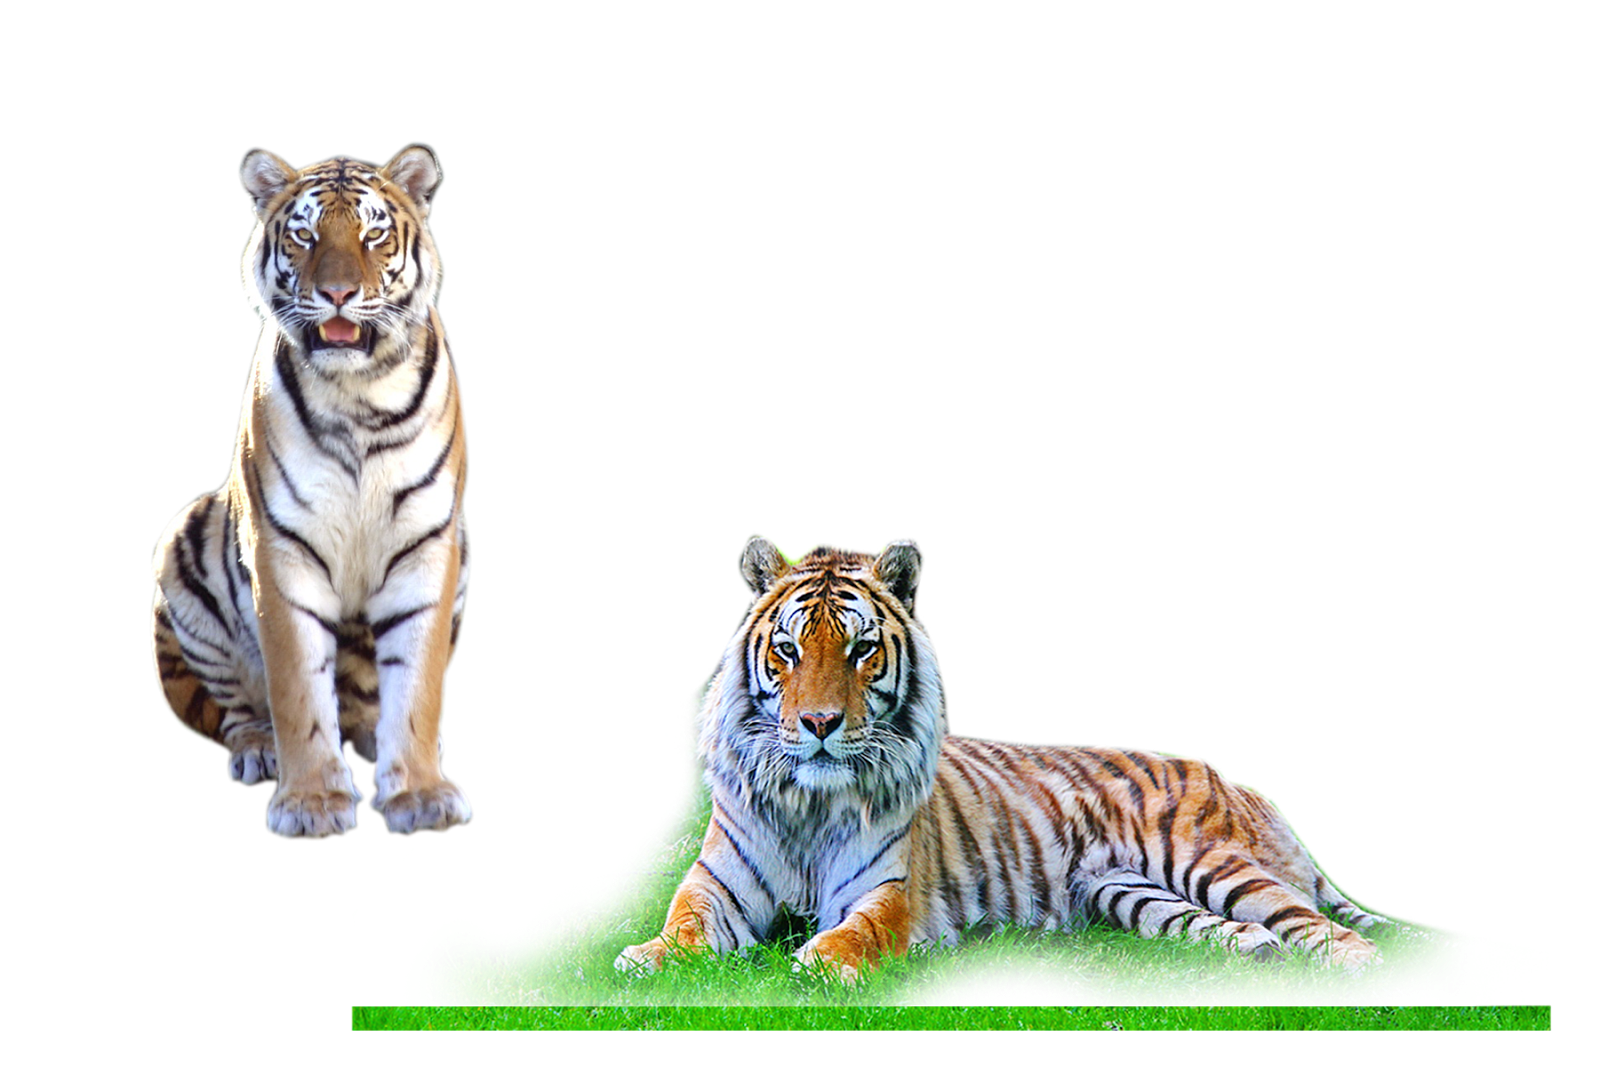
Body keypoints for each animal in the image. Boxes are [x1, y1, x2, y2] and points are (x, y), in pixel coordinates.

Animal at [149, 145, 472, 841]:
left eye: (373, 234)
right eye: (305, 234)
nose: (338, 294)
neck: (360, 398)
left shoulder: (427, 542)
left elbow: (417, 684)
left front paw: (421, 793)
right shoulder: (282, 548)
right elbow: (297, 688)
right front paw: (312, 804)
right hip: (183, 545)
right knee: (238, 709)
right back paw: (259, 751)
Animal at [615, 537, 1389, 983]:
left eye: (862, 650)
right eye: (787, 649)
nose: (819, 724)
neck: (811, 801)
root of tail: (1235, 779)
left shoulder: (889, 893)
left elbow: (854, 934)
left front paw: (813, 962)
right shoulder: (717, 883)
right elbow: (683, 924)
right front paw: (646, 957)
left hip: (1211, 861)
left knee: (1333, 931)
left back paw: (1360, 975)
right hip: (1129, 891)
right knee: (1246, 929)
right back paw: (1255, 950)